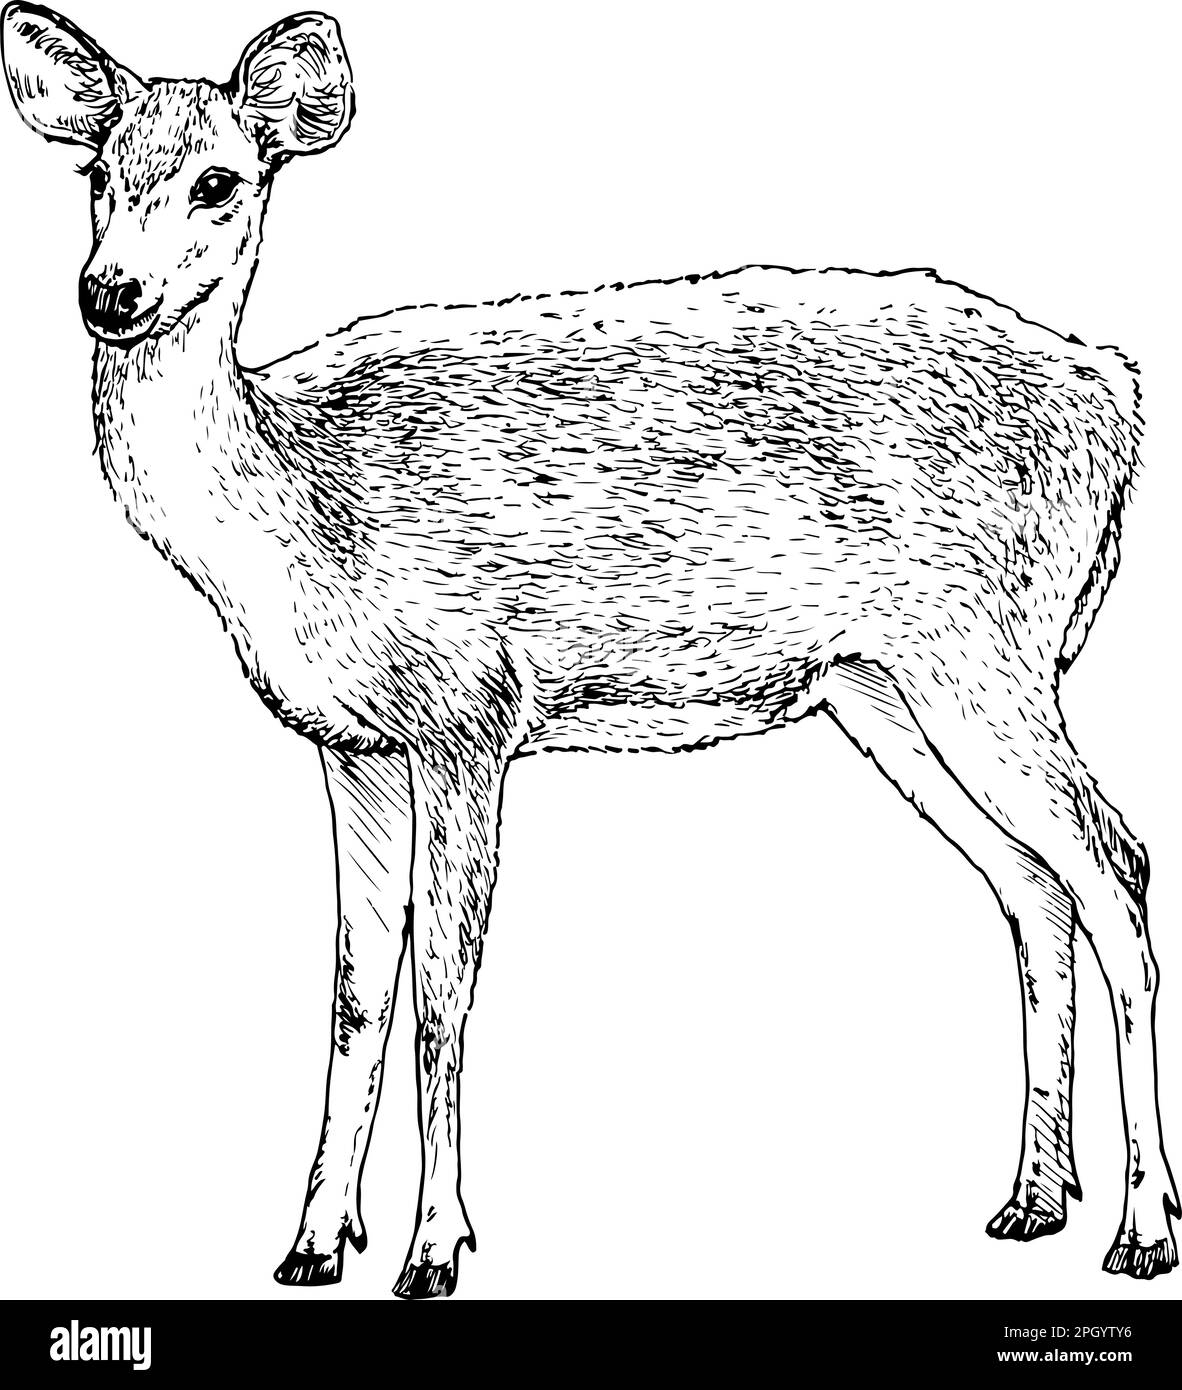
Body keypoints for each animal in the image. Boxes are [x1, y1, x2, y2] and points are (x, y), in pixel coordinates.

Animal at [1, 3, 1176, 1299]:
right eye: (96, 174)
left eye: (220, 180)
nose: (109, 292)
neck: (297, 507)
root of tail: (1120, 394)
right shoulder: (349, 745)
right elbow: (355, 996)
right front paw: (310, 1241)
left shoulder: (467, 710)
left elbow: (442, 997)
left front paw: (434, 1249)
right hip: (886, 690)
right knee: (1033, 887)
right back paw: (1031, 1201)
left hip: (989, 648)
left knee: (1116, 864)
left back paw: (1139, 1228)